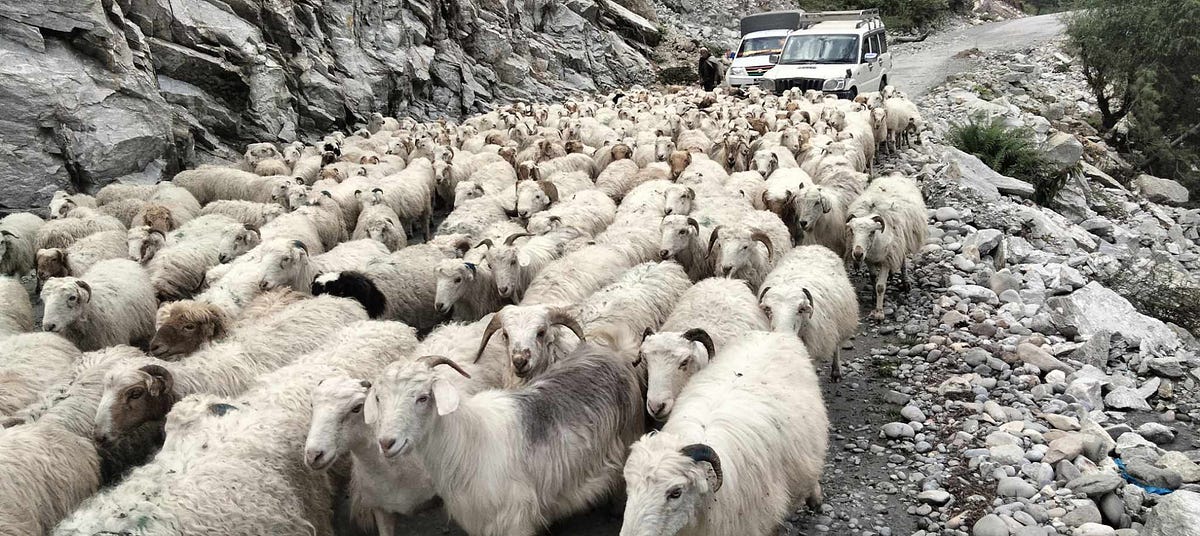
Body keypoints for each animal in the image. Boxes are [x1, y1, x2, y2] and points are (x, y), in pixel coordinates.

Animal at [367, 343, 644, 536]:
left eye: (423, 397)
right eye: (378, 398)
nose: (387, 443)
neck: (468, 441)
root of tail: (610, 353)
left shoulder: (514, 519)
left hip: (630, 433)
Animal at [758, 245, 858, 382]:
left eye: (801, 310)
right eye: (768, 309)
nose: (784, 335)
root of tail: (813, 246)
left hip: (840, 321)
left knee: (837, 345)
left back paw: (836, 372)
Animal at [846, 173, 927, 320]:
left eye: (872, 232)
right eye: (852, 231)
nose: (857, 254)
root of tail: (894, 176)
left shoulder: (887, 259)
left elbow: (880, 287)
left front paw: (879, 312)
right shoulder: (869, 259)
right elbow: (873, 278)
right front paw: (873, 296)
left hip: (901, 243)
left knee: (903, 260)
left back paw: (905, 282)